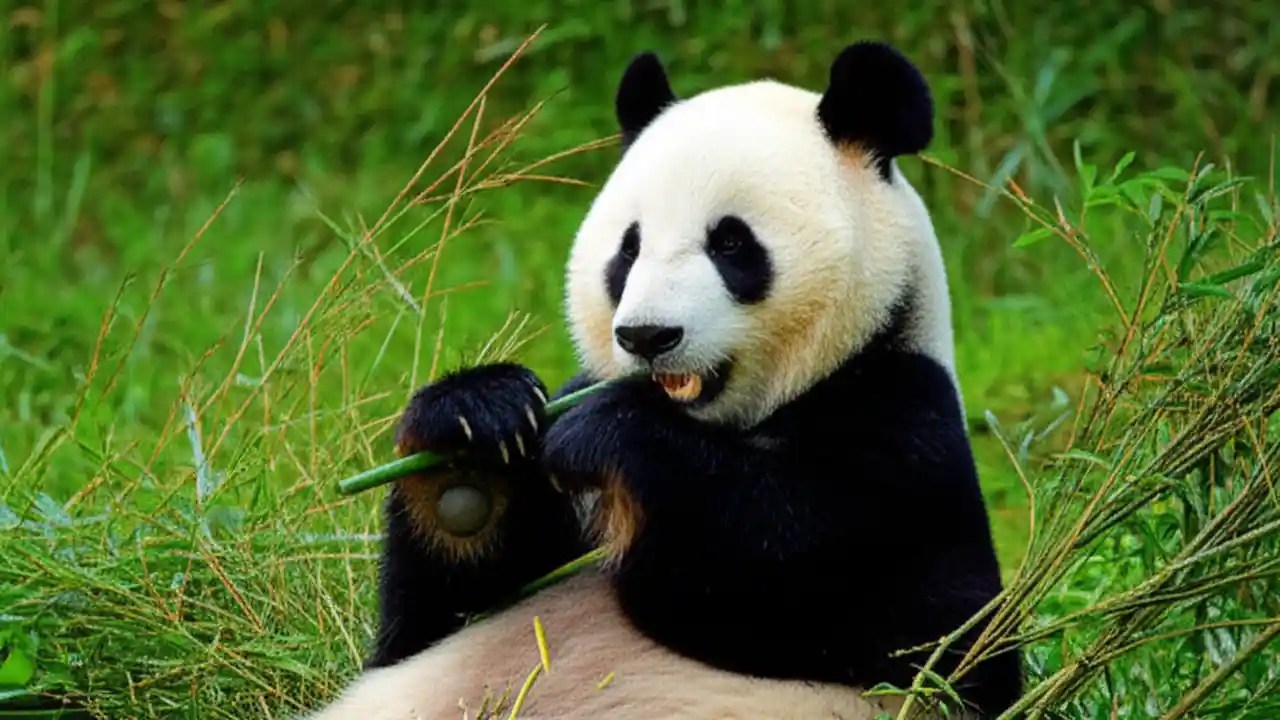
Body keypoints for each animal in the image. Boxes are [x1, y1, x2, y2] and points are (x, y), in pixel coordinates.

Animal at [305, 40, 1021, 720]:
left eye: (731, 244)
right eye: (629, 248)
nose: (647, 336)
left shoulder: (904, 418)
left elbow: (893, 614)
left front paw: (614, 434)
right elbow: (415, 625)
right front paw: (474, 431)